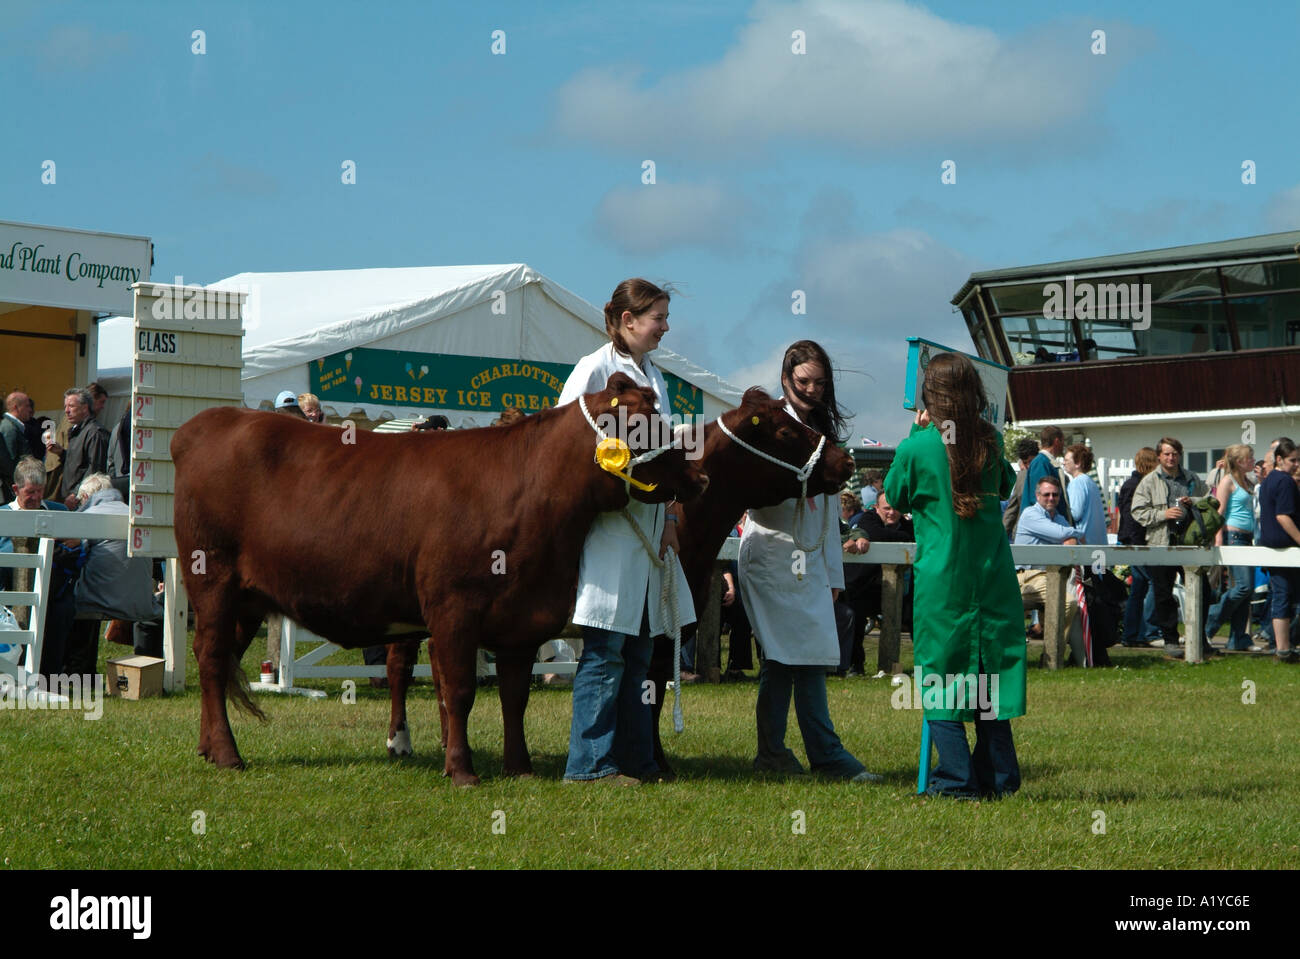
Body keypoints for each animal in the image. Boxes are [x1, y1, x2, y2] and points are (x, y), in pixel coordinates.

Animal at [172, 372, 708, 786]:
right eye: (641, 423)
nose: (699, 478)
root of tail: (205, 424)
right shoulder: (454, 609)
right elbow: (460, 692)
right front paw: (463, 771)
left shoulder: (523, 619)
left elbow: (515, 697)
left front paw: (520, 768)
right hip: (212, 578)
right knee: (213, 658)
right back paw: (228, 754)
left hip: (247, 599)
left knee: (214, 660)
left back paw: (206, 746)